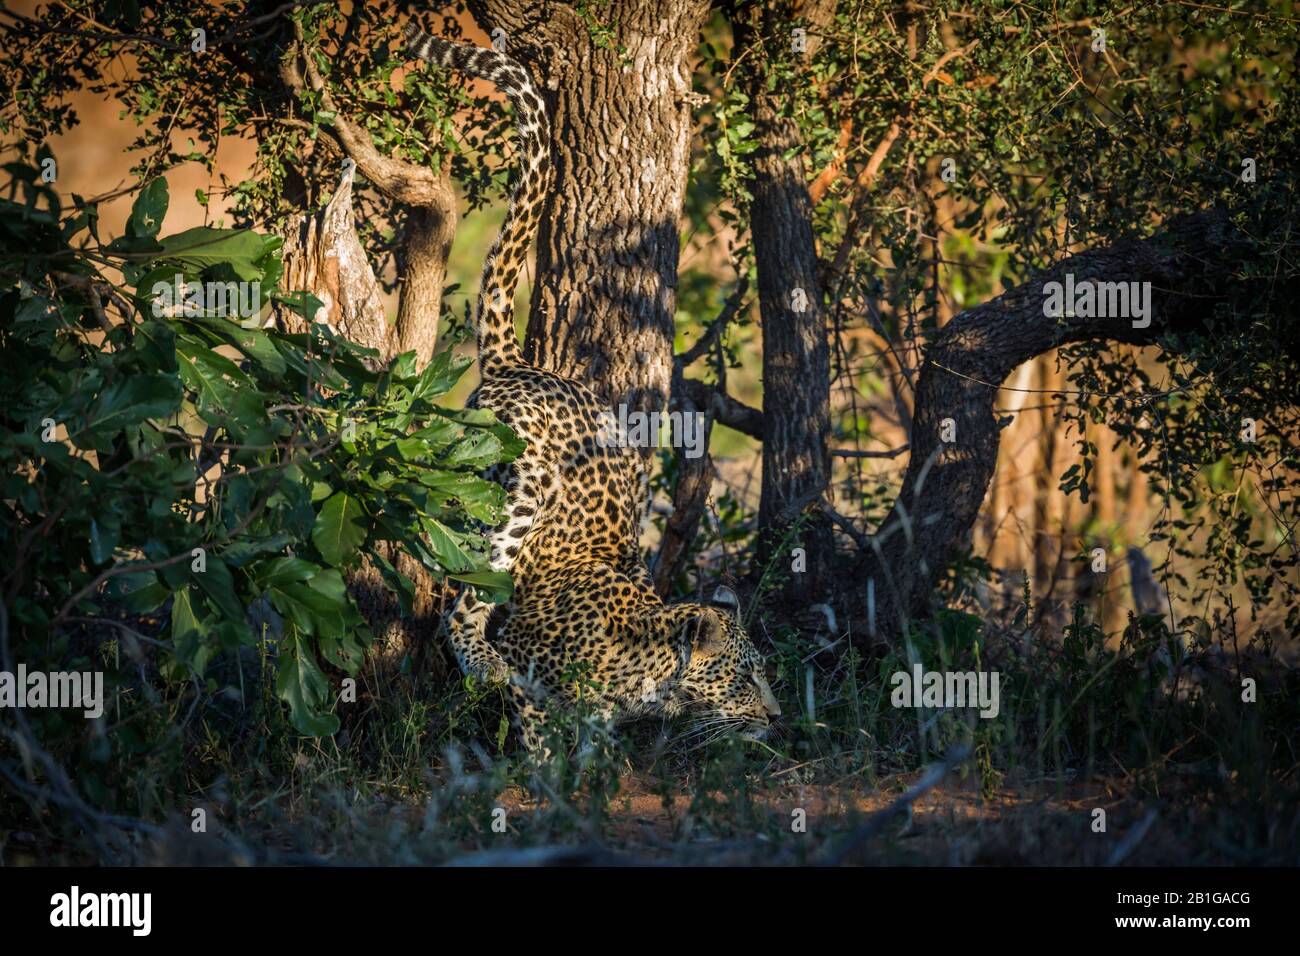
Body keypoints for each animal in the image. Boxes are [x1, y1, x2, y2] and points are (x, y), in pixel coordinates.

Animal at [403, 25, 778, 748]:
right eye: (745, 678)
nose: (776, 718)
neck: (650, 672)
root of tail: (519, 363)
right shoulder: (534, 669)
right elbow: (541, 727)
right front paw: (544, 760)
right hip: (519, 486)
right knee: (465, 593)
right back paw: (477, 657)